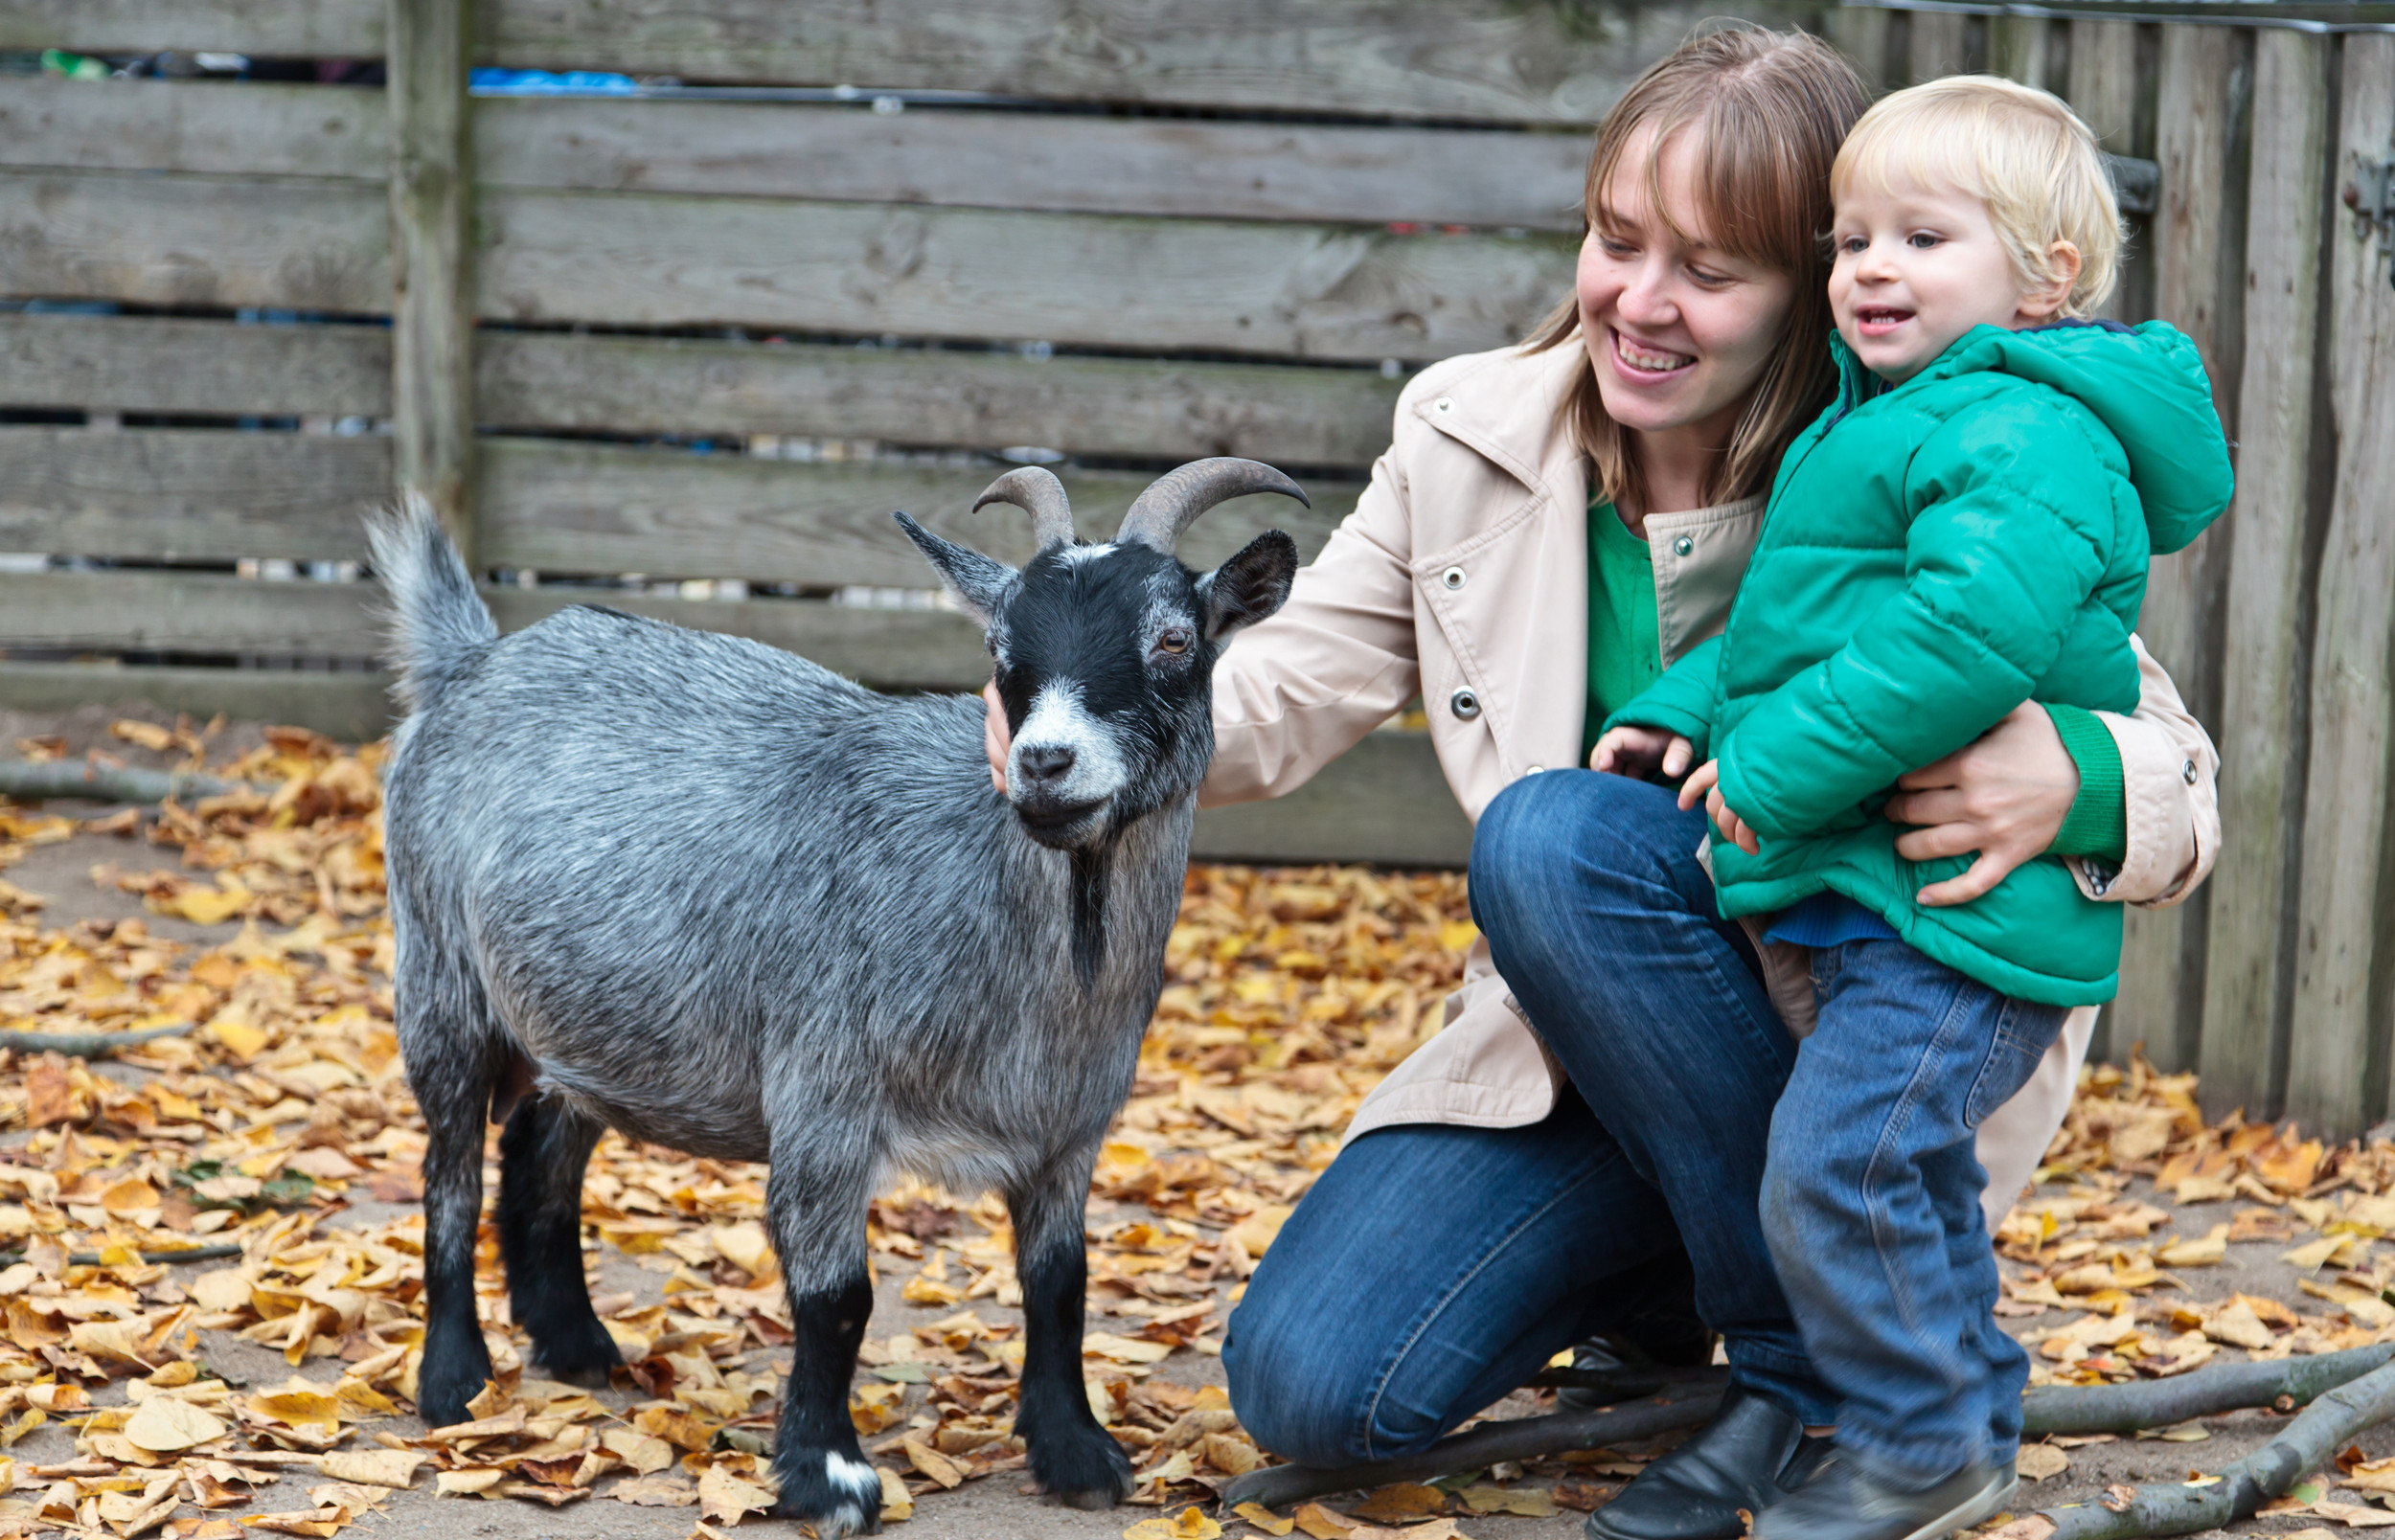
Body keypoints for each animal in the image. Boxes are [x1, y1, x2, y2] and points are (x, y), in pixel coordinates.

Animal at [367, 458, 1304, 1536]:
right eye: (1000, 648)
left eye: (1174, 639)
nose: (1044, 762)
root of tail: (468, 662)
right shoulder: (824, 1094)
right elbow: (838, 1297)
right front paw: (828, 1475)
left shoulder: (1069, 1126)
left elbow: (1060, 1283)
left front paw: (1076, 1454)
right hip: (438, 975)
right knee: (449, 1170)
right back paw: (455, 1381)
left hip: (600, 1010)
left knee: (541, 1146)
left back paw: (576, 1345)